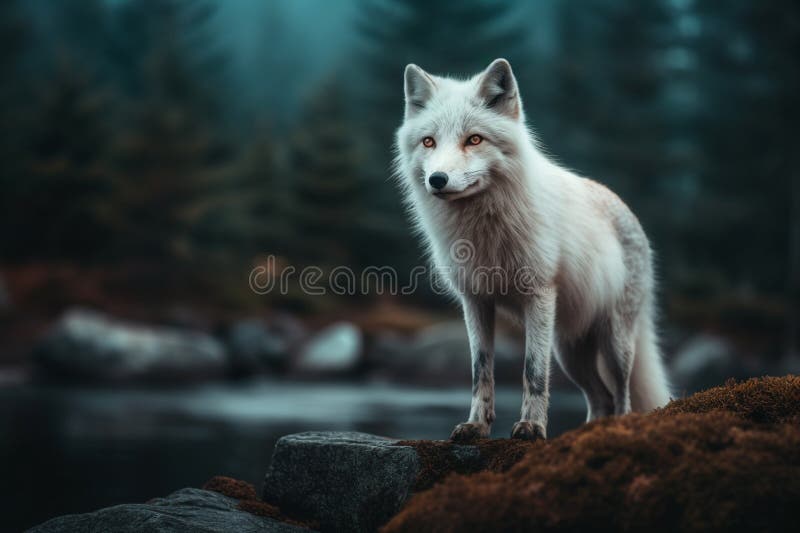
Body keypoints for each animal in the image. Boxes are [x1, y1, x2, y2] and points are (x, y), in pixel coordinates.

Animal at [394, 59, 671, 441]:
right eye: (429, 142)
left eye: (474, 139)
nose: (437, 179)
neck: (483, 233)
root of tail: (626, 209)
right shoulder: (476, 302)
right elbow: (481, 371)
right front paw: (477, 426)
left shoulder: (539, 295)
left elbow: (533, 372)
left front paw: (532, 427)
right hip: (570, 352)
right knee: (600, 398)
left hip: (613, 343)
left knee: (621, 397)